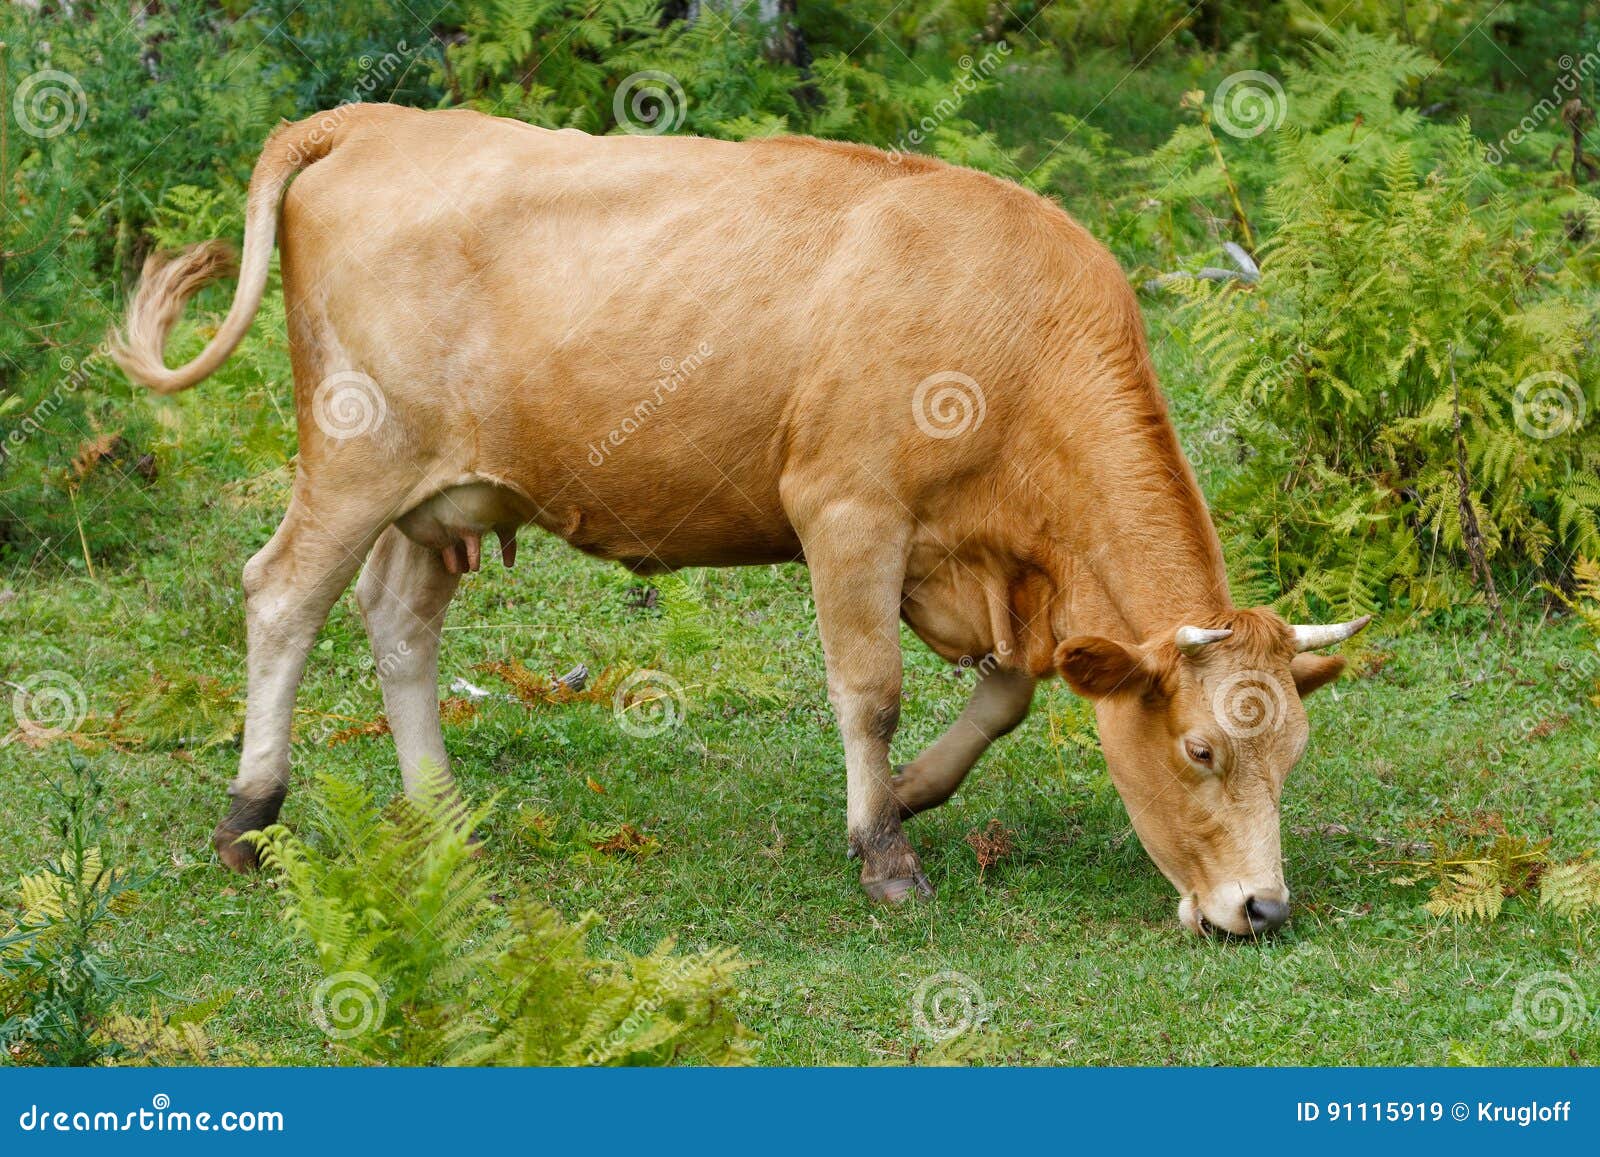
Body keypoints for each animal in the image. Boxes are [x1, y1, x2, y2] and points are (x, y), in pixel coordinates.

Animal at [112, 104, 1368, 936]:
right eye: (1200, 748)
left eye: (1292, 751)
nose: (1261, 905)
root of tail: (375, 120)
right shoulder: (849, 509)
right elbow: (870, 690)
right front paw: (884, 853)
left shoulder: (991, 567)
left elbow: (1008, 693)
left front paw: (912, 791)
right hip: (355, 458)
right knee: (281, 593)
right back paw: (248, 818)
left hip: (444, 491)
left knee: (397, 619)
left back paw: (441, 810)